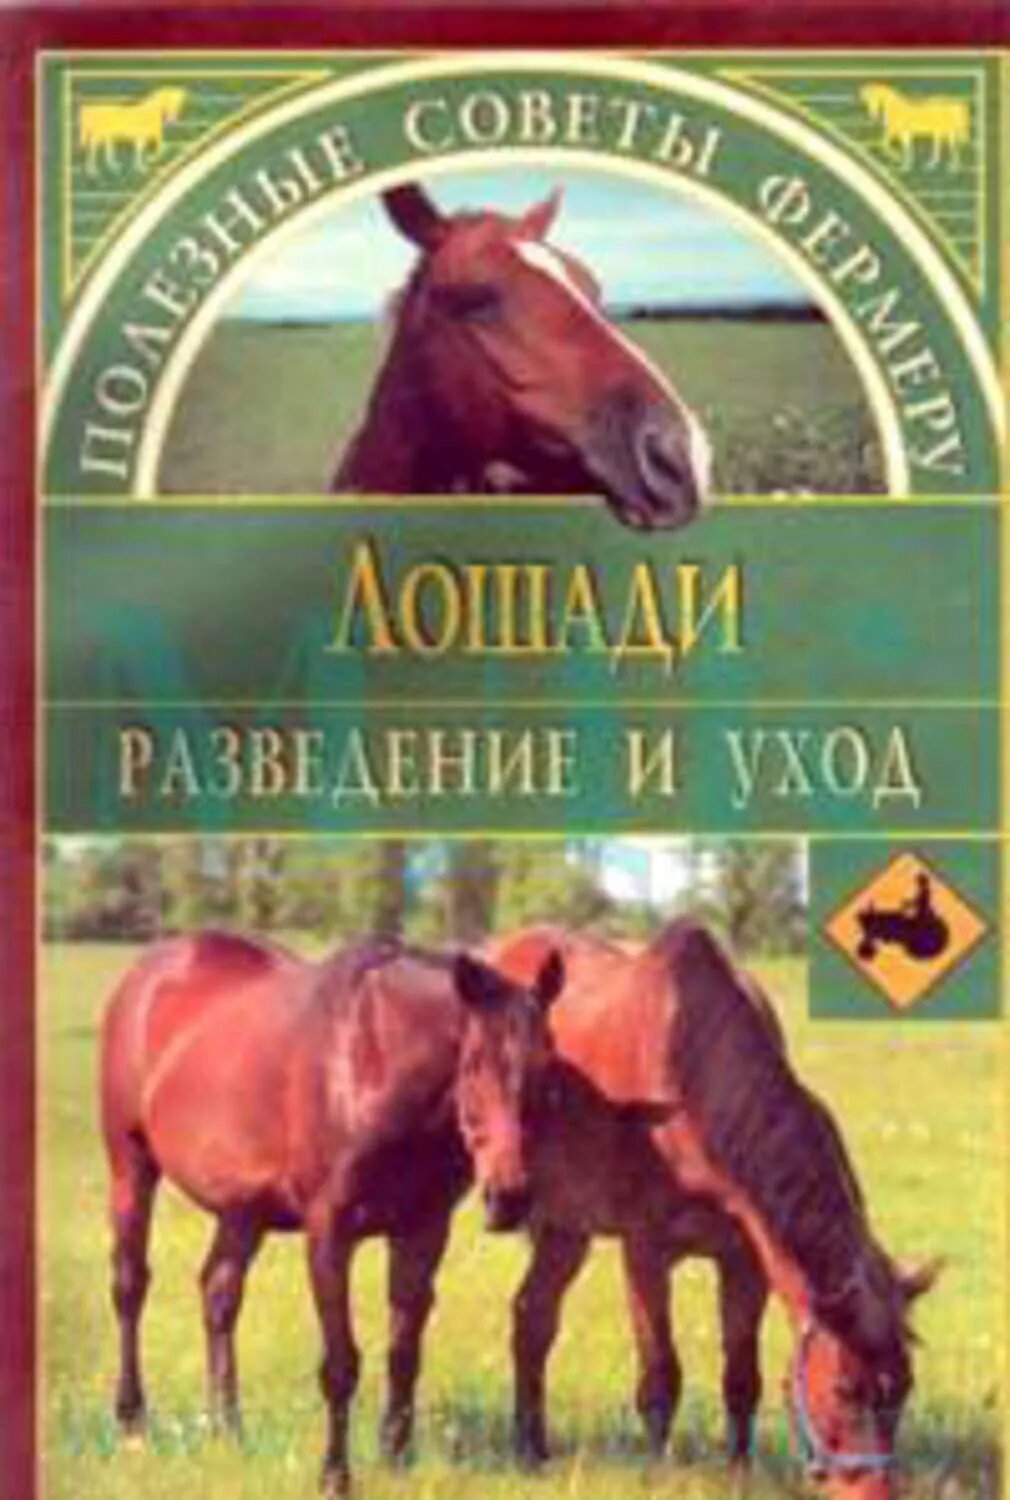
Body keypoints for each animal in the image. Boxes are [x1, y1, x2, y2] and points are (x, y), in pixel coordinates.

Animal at [99, 929, 565, 1496]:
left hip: (242, 1212)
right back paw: (132, 1421)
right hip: (130, 1167)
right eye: (474, 1063)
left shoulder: (423, 1230)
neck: (370, 1060)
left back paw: (226, 1428)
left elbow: (404, 1351)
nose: (510, 1197)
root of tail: (148, 971)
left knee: (219, 1294)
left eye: (548, 1067)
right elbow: (341, 1364)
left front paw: (396, 1456)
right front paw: (335, 1474)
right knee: (129, 1285)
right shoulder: (329, 1232)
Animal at [482, 920, 940, 1500]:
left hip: (567, 1228)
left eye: (904, 1386)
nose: (877, 1492)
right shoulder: (645, 1249)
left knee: (532, 1317)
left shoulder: (747, 1258)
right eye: (842, 1389)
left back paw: (533, 1450)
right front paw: (658, 1473)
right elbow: (660, 1374)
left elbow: (742, 1377)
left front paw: (739, 1470)